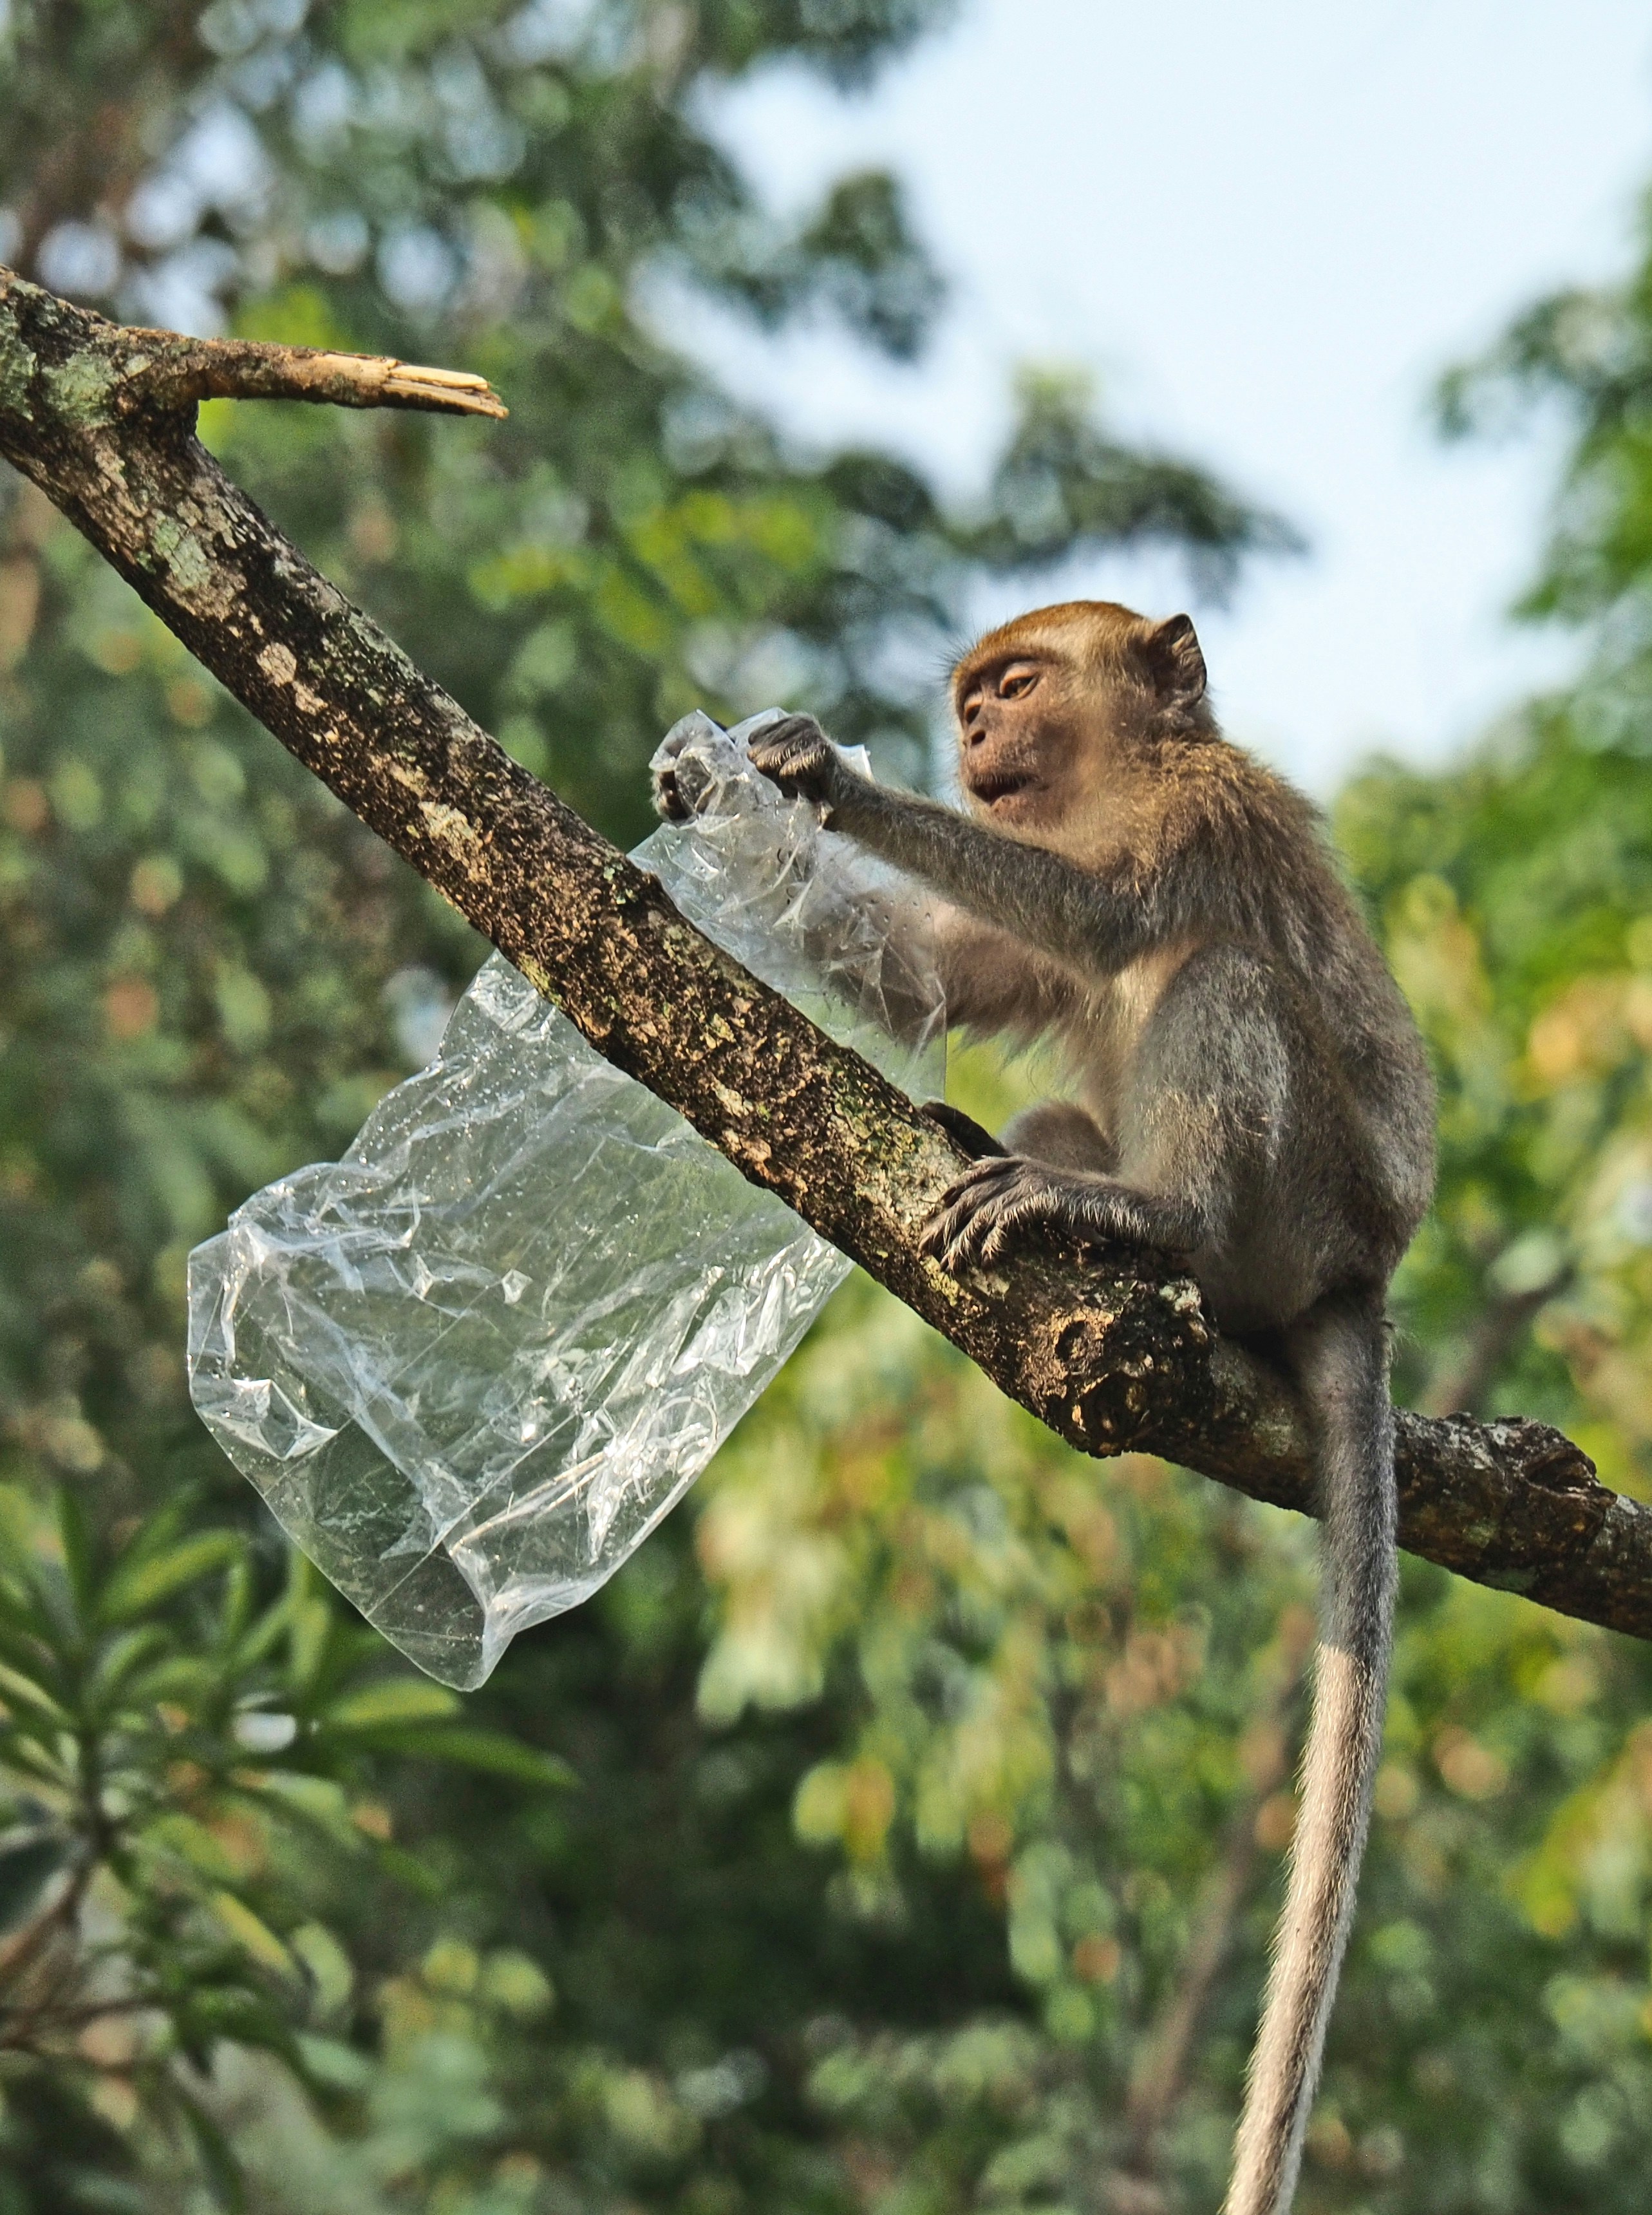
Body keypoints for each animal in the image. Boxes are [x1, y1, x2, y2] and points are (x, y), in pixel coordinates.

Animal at [653, 601, 1435, 2215]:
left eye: (1012, 686)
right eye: (971, 697)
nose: (964, 735)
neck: (1111, 778)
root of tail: (1362, 1275)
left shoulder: (1206, 813)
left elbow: (1108, 920)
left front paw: (820, 776)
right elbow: (932, 974)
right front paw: (711, 795)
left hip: (1308, 1201)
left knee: (1220, 982)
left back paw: (1150, 1218)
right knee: (1063, 1102)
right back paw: (1043, 1192)